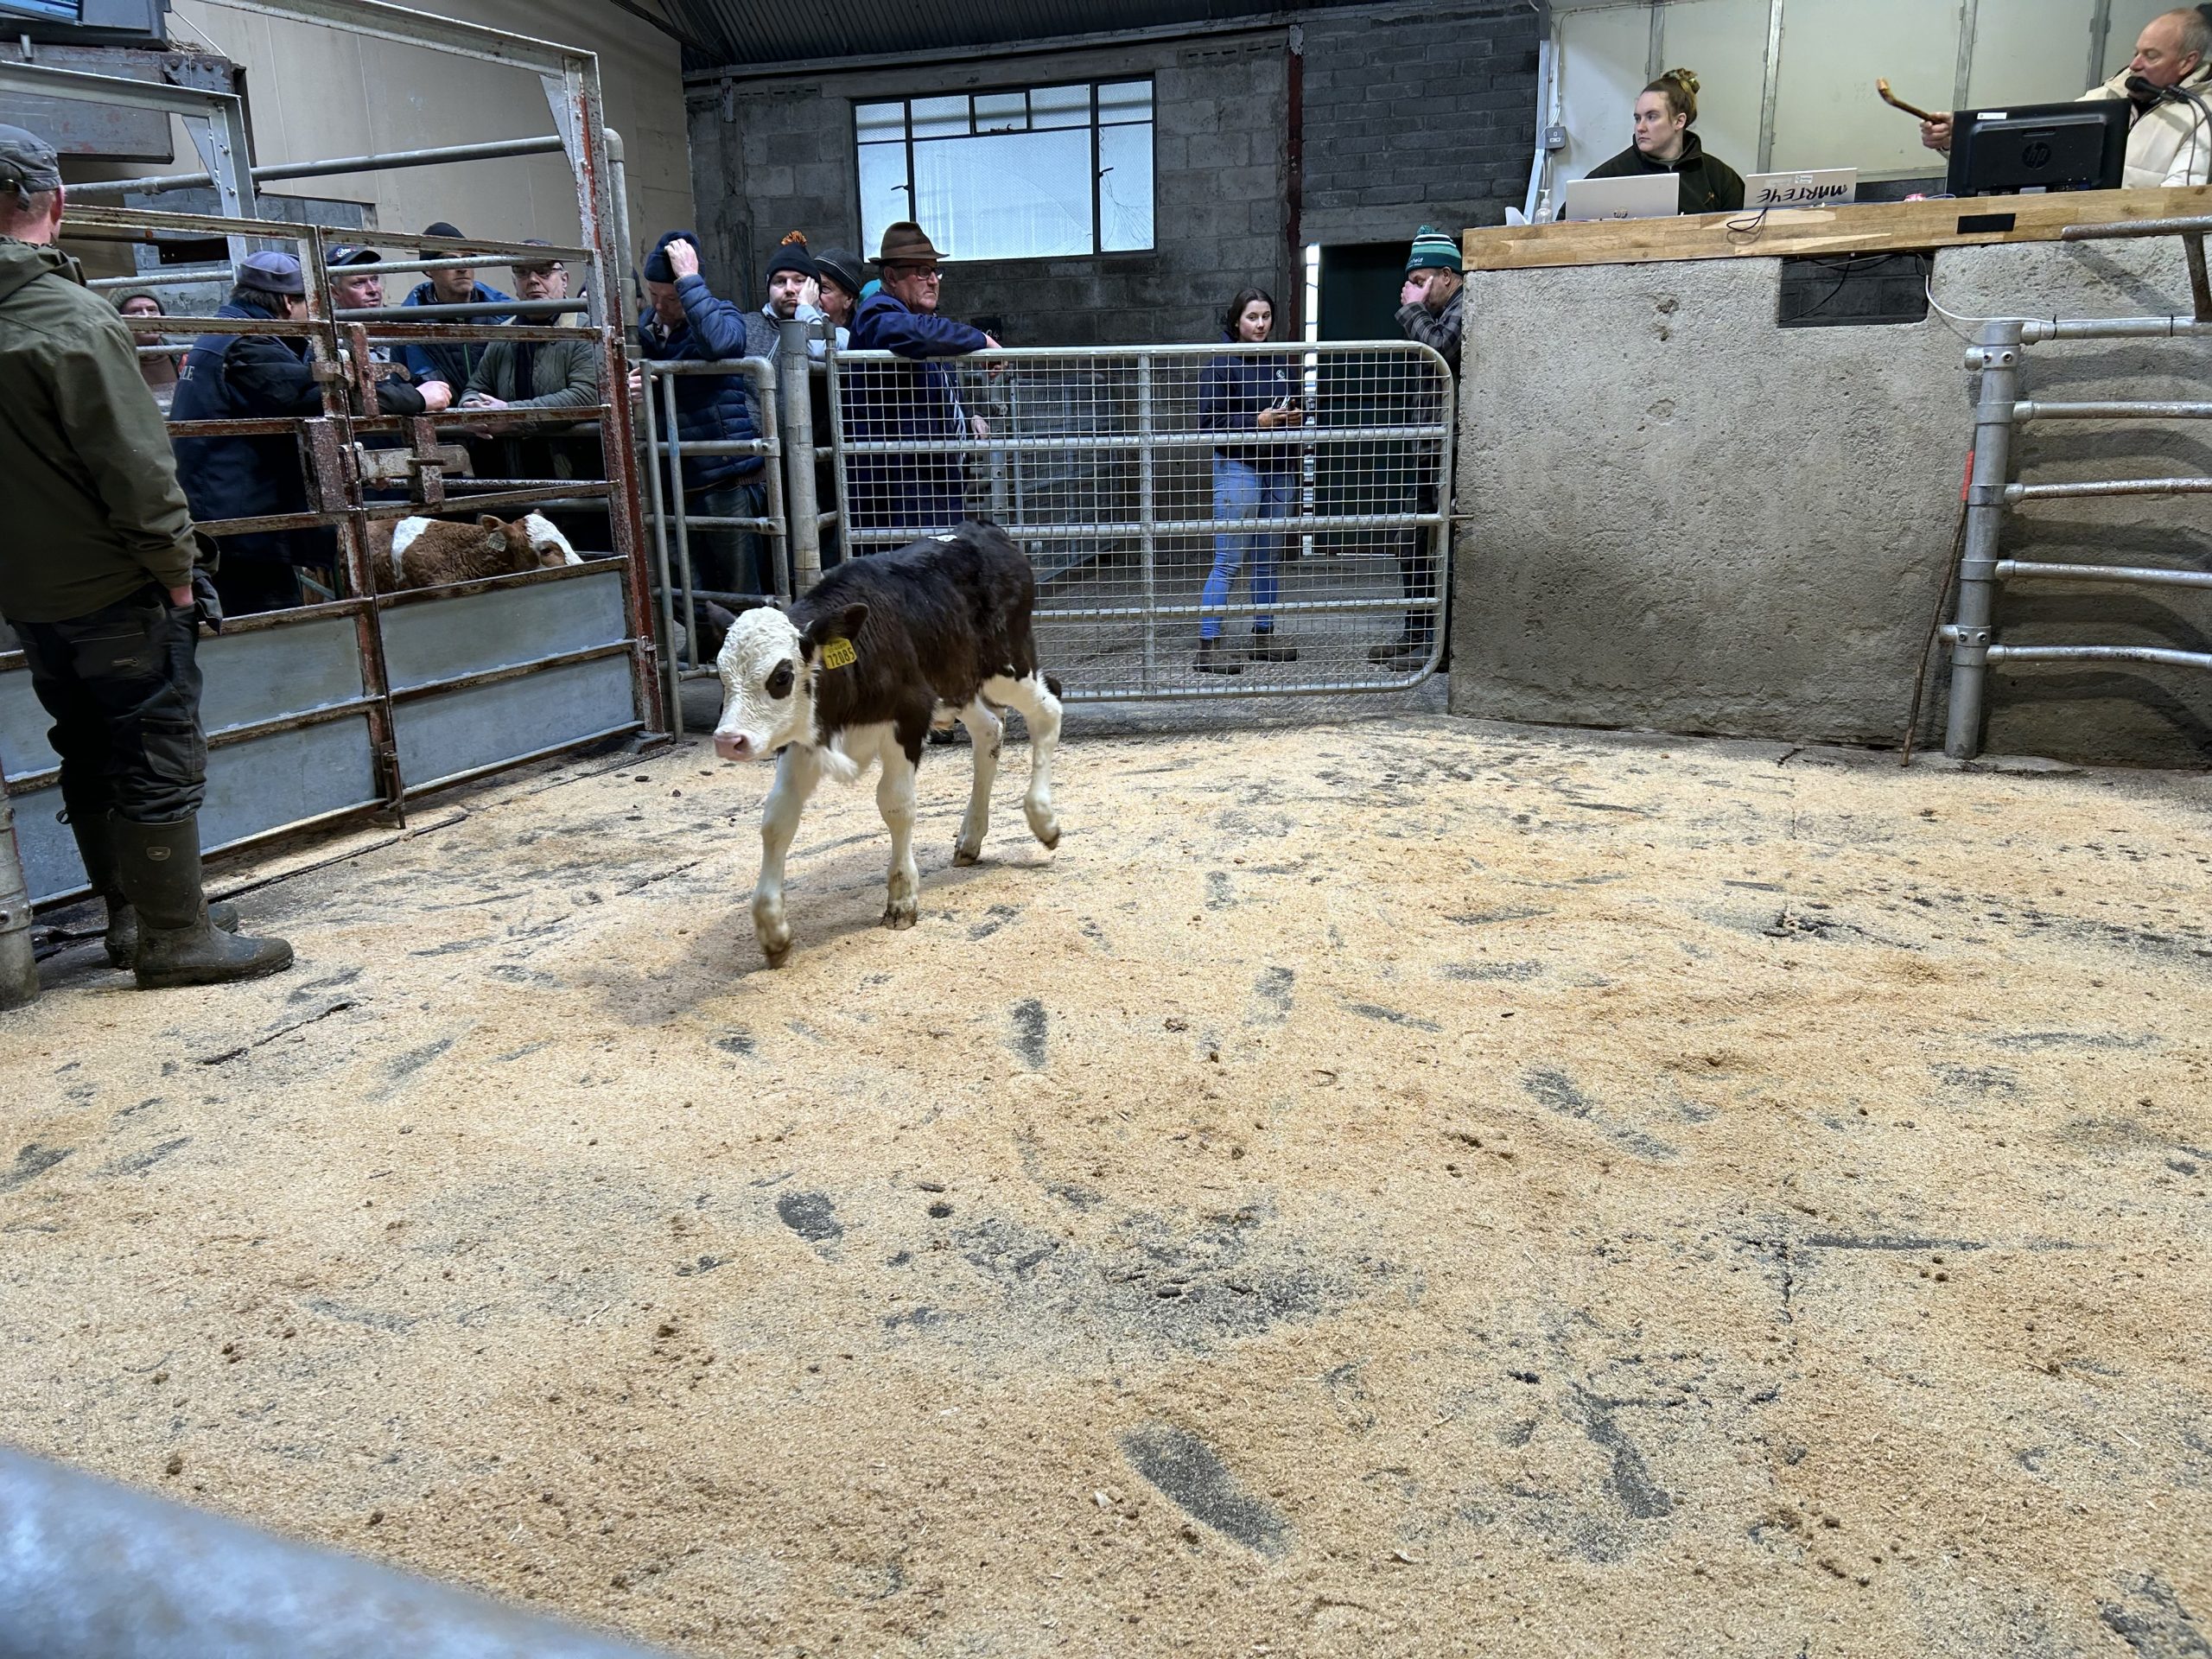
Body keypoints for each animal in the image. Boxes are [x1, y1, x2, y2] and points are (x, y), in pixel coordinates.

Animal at [712, 522, 1063, 966]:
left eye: (781, 676)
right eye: (720, 674)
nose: (728, 740)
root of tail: (981, 528)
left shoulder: (909, 718)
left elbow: (896, 805)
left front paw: (902, 899)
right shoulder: (802, 740)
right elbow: (777, 819)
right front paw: (772, 928)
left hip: (1009, 667)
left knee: (1048, 712)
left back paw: (1043, 819)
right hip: (958, 684)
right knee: (989, 732)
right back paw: (970, 839)